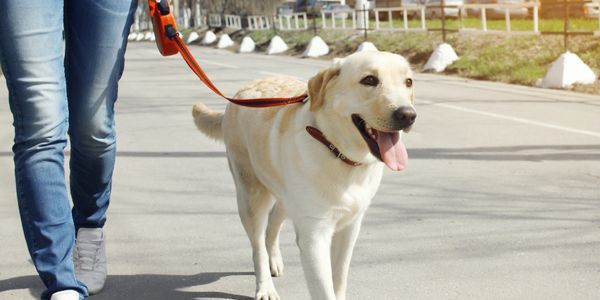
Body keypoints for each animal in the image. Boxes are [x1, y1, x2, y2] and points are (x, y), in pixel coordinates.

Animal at [193, 50, 418, 298]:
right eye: (369, 80)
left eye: (408, 82)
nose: (408, 115)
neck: (337, 151)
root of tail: (240, 93)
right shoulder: (314, 236)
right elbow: (324, 290)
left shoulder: (350, 228)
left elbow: (339, 279)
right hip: (251, 196)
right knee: (257, 245)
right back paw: (265, 286)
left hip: (285, 197)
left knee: (273, 224)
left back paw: (274, 260)